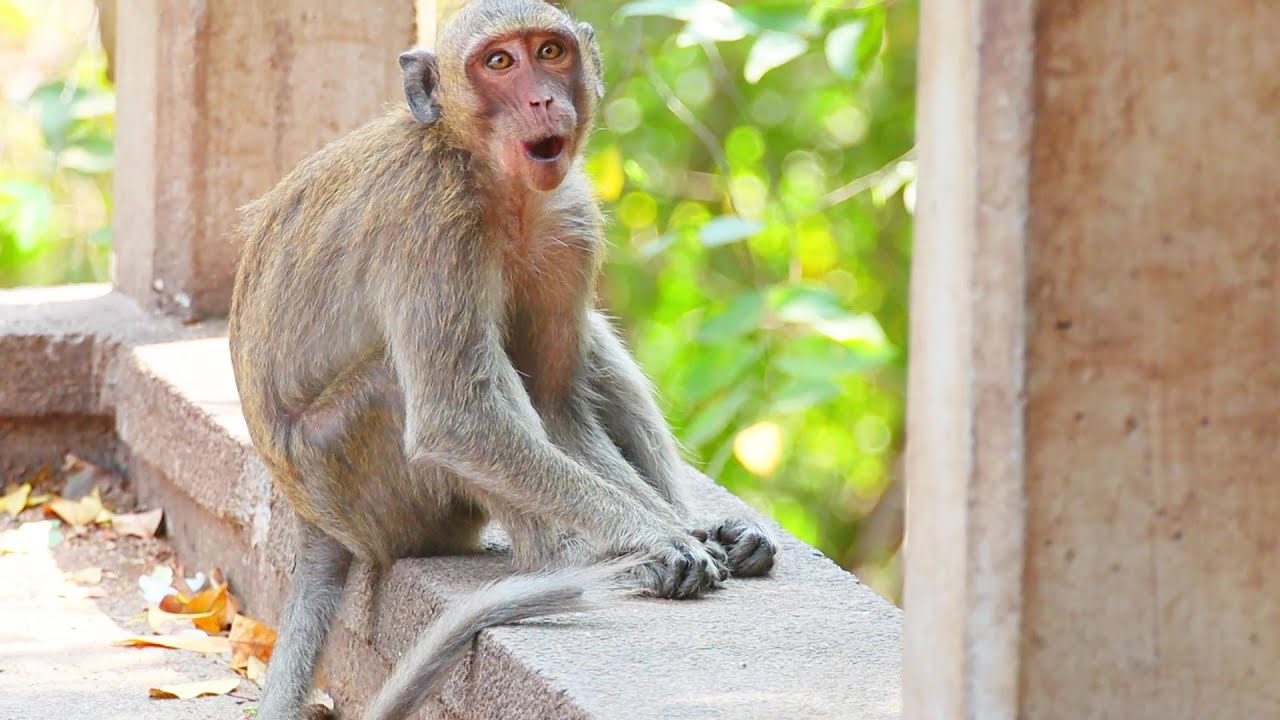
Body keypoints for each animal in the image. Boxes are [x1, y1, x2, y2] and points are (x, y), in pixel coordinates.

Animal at [227, 1, 777, 718]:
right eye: (498, 63)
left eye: (549, 52)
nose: (542, 98)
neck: (489, 176)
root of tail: (311, 520)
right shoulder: (431, 217)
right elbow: (456, 419)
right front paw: (650, 538)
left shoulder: (572, 223)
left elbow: (557, 404)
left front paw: (682, 528)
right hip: (357, 478)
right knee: (412, 389)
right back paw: (568, 557)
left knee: (578, 351)